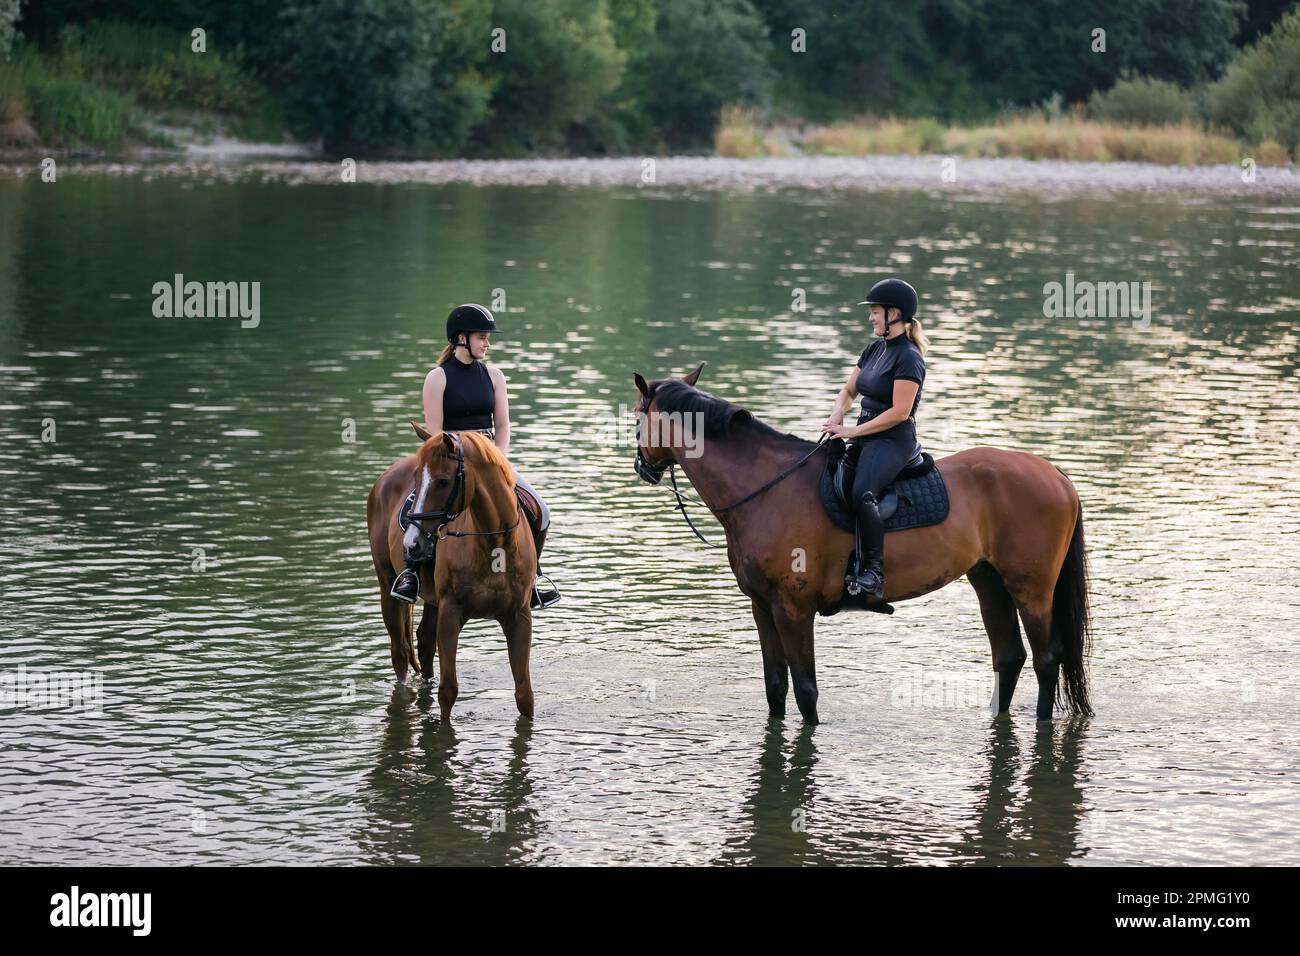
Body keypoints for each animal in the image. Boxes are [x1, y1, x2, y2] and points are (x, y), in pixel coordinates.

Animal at [366, 425, 537, 721]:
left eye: (443, 482)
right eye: (416, 479)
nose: (411, 544)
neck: (492, 541)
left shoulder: (519, 617)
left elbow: (524, 694)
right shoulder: (451, 613)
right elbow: (448, 692)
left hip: (432, 600)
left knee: (424, 643)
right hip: (388, 588)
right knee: (400, 654)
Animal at [632, 364, 1092, 725]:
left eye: (637, 415)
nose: (642, 467)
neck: (767, 488)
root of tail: (1056, 474)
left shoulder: (793, 609)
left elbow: (806, 691)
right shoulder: (761, 606)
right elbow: (775, 688)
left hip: (1031, 589)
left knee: (1047, 658)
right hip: (989, 580)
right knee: (1009, 657)